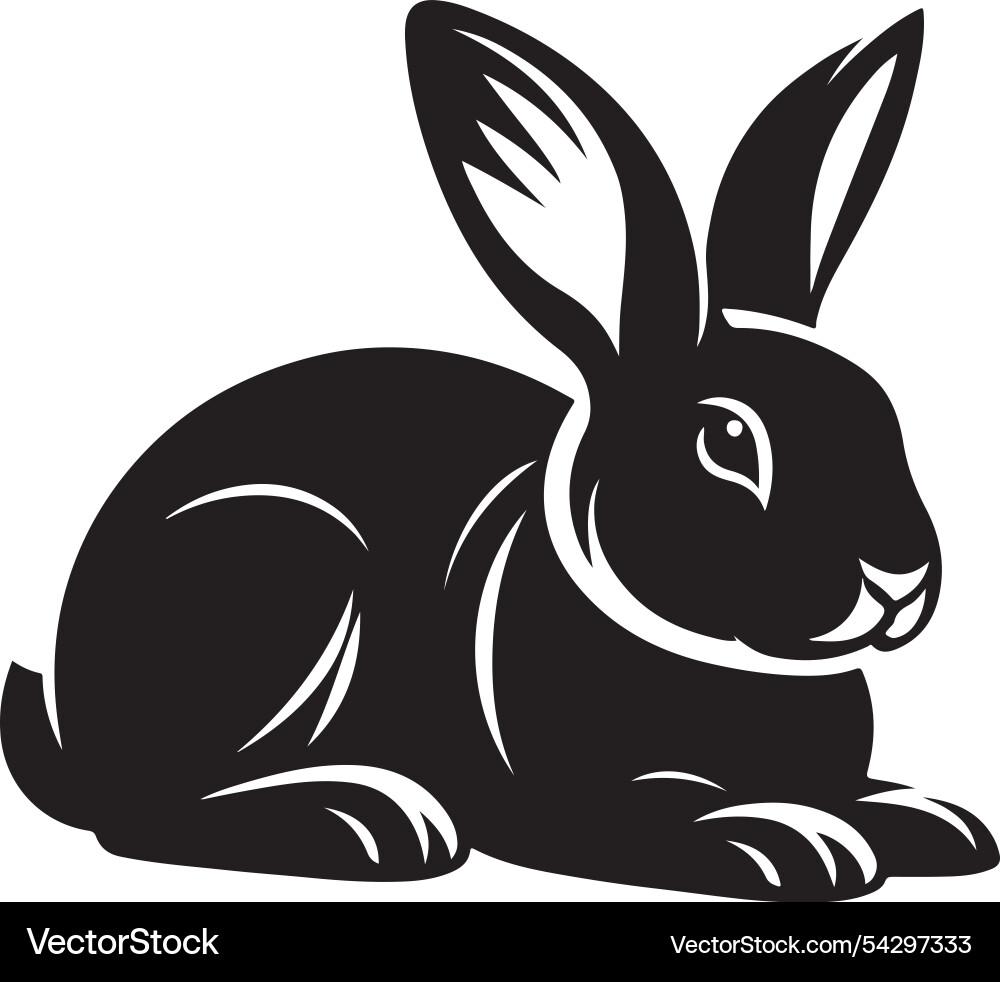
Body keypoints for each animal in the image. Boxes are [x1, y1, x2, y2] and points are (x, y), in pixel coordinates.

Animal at [1, 1, 996, 901]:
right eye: (726, 438)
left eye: (879, 405)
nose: (900, 578)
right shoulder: (580, 795)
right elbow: (660, 808)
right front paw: (786, 839)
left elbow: (863, 794)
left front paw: (935, 822)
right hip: (285, 565)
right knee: (143, 814)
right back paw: (369, 815)